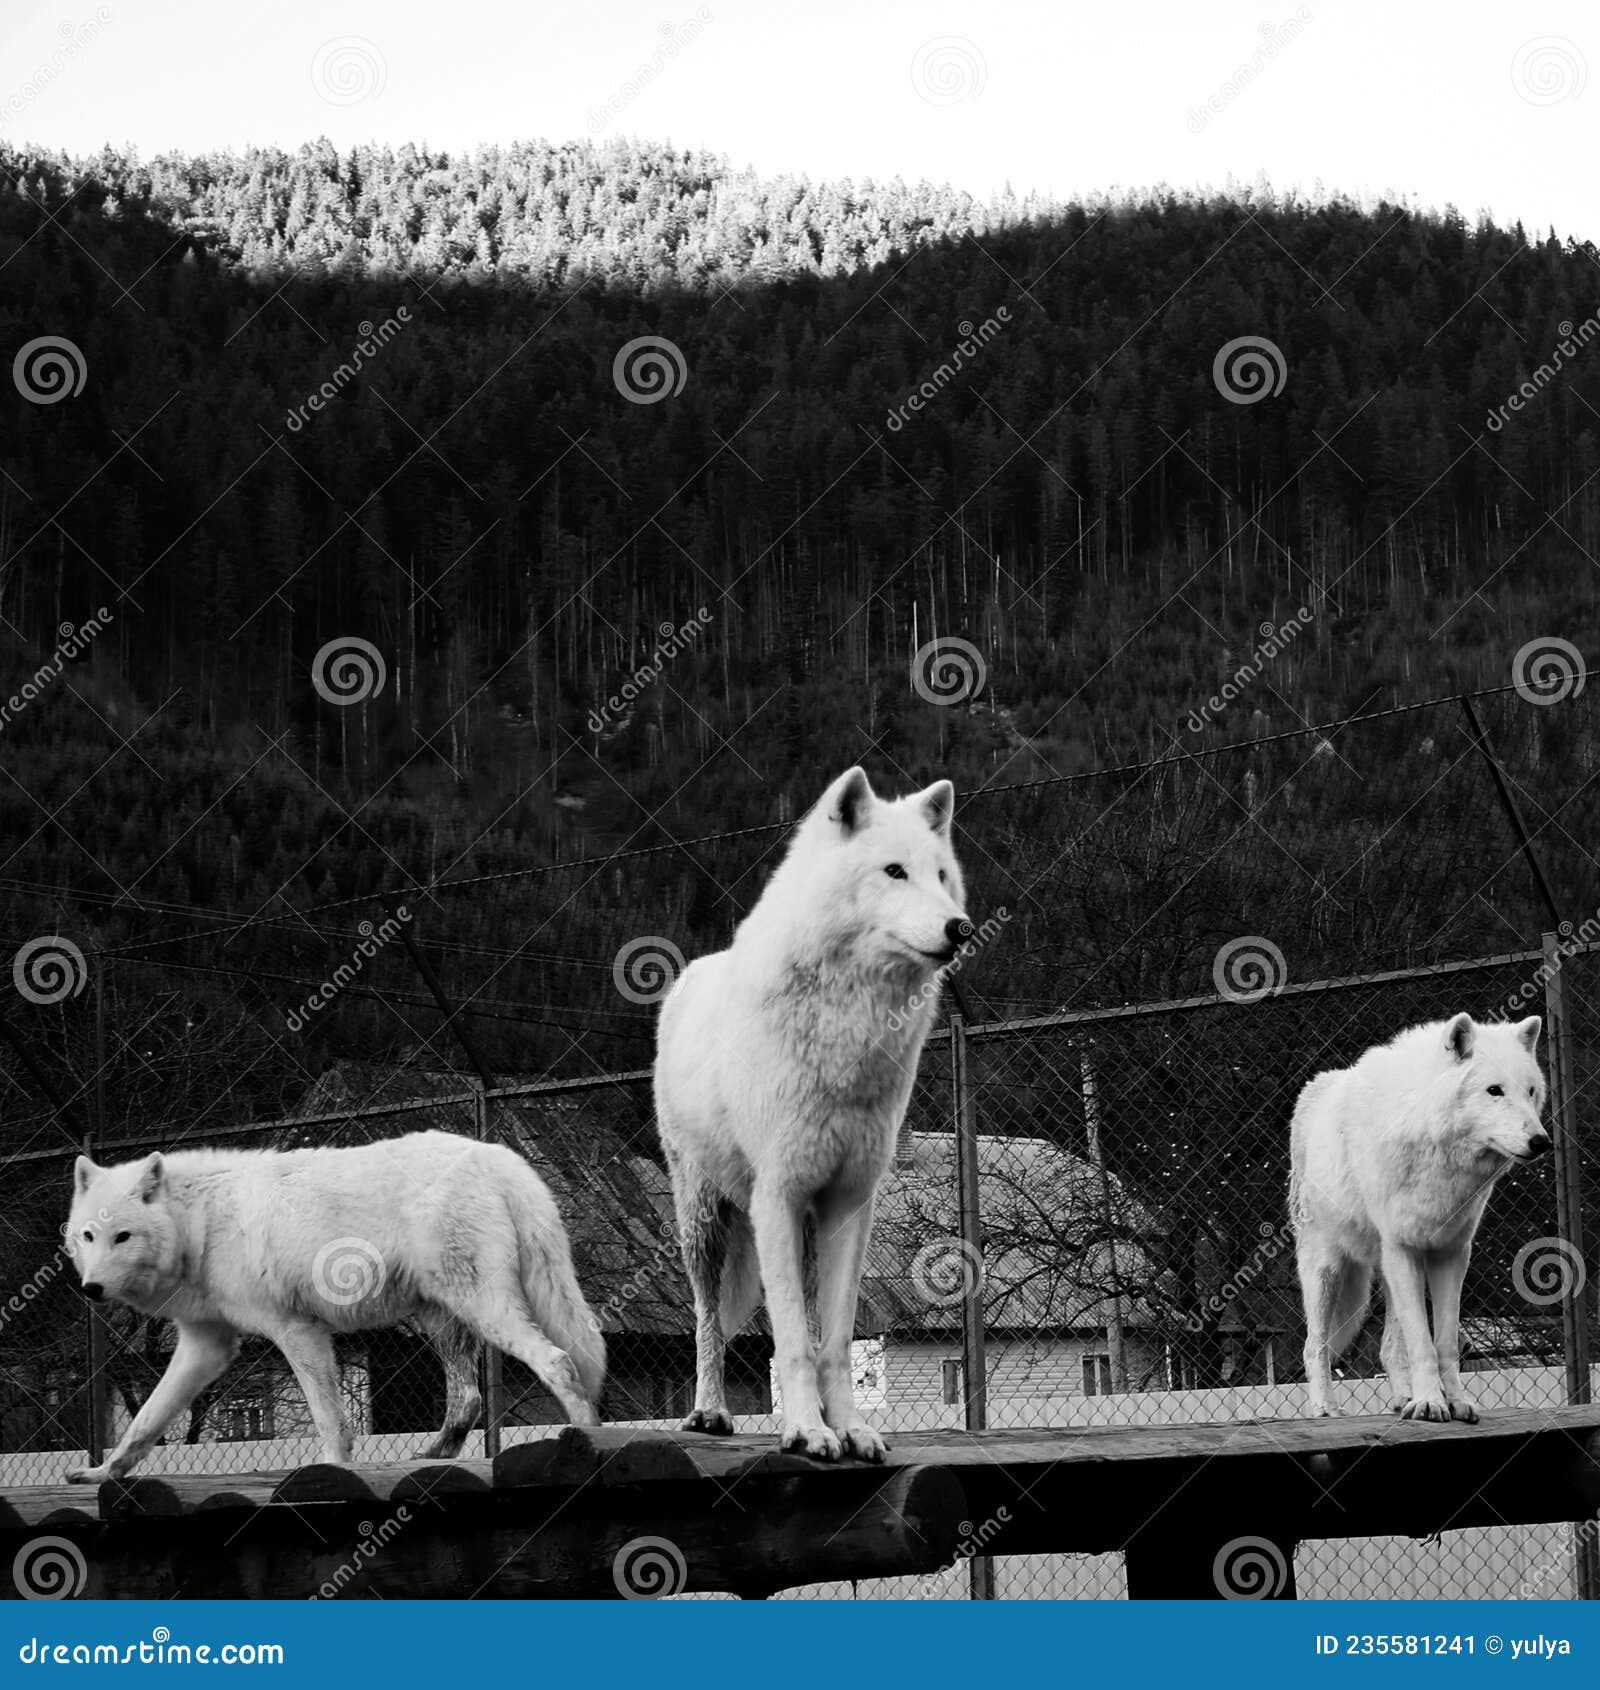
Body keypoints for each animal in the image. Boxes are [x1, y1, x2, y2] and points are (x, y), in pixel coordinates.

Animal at [64, 1129, 605, 1482]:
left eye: (123, 1236)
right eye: (88, 1236)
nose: (91, 1289)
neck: (200, 1225)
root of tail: (498, 1156)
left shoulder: (295, 1328)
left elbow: (330, 1418)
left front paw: (332, 1470)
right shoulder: (206, 1345)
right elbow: (145, 1421)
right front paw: (103, 1472)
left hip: (483, 1308)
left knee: (557, 1361)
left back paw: (588, 1440)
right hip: (442, 1319)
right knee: (468, 1401)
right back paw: (430, 1456)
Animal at [655, 766, 971, 1461]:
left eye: (940, 876)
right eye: (894, 872)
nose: (961, 927)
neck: (849, 1027)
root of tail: (691, 973)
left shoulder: (849, 1201)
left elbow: (834, 1340)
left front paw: (847, 1427)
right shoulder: (776, 1193)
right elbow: (793, 1344)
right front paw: (805, 1429)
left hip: (797, 1229)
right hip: (704, 1220)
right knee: (707, 1319)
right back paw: (710, 1412)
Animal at [1290, 1013, 1549, 1422]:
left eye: (1531, 1092)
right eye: (1495, 1091)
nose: (1541, 1142)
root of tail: (1316, 1087)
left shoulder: (1450, 1254)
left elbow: (1444, 1344)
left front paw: (1453, 1402)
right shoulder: (1402, 1248)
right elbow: (1422, 1344)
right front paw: (1430, 1402)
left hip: (1388, 1271)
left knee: (1388, 1347)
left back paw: (1401, 1399)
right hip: (1327, 1268)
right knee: (1315, 1346)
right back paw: (1325, 1408)